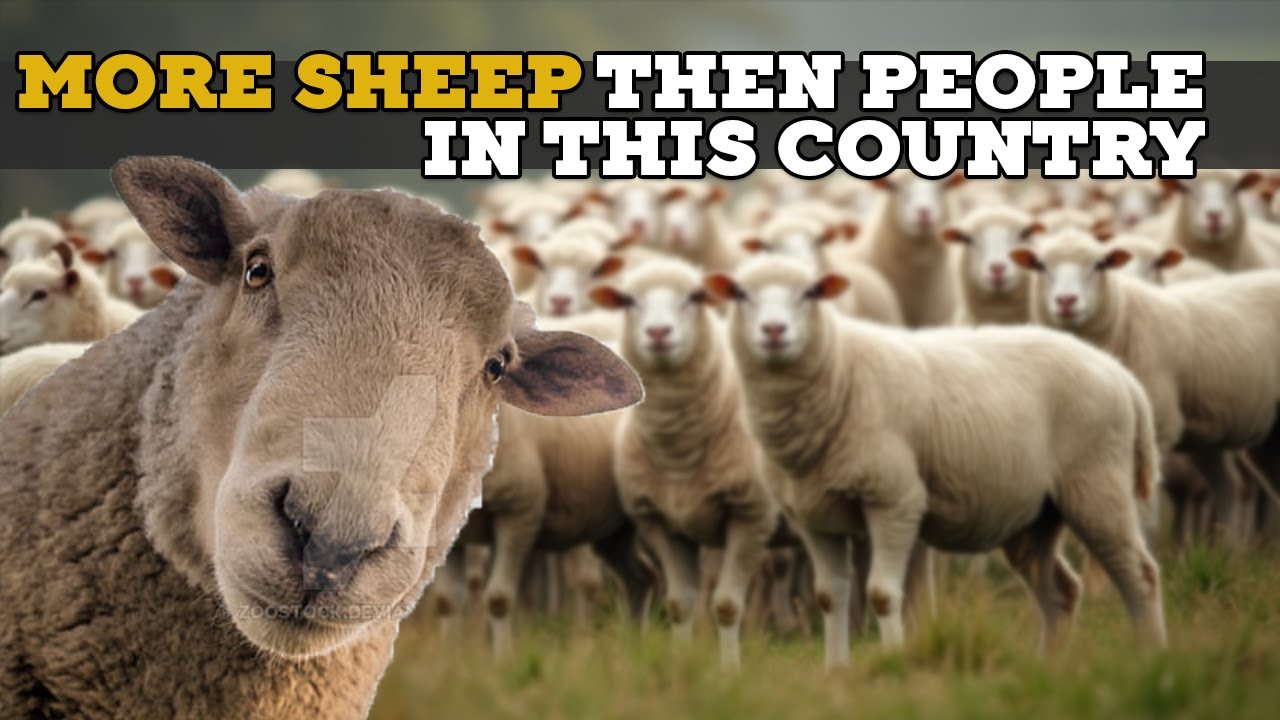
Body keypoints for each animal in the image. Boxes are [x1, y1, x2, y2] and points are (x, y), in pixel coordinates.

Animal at [590, 258, 779, 670]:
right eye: (628, 300)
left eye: (694, 297)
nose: (659, 333)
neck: (680, 451)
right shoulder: (662, 521)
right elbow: (679, 604)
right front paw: (681, 661)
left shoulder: (750, 515)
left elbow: (726, 605)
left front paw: (730, 670)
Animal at [705, 255, 1167, 668]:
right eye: (741, 294)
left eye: (810, 293)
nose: (773, 331)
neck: (841, 370)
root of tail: (1121, 376)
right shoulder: (815, 516)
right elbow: (829, 596)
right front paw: (836, 670)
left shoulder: (895, 498)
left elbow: (883, 594)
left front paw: (893, 660)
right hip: (1036, 513)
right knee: (1060, 589)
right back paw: (1047, 666)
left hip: (1097, 482)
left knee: (1139, 573)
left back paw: (1150, 656)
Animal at [1012, 228, 1280, 543]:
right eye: (1040, 265)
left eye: (1100, 264)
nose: (1066, 301)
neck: (1125, 320)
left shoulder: (1158, 428)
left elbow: (1145, 516)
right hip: (1227, 432)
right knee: (1232, 485)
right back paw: (1229, 550)